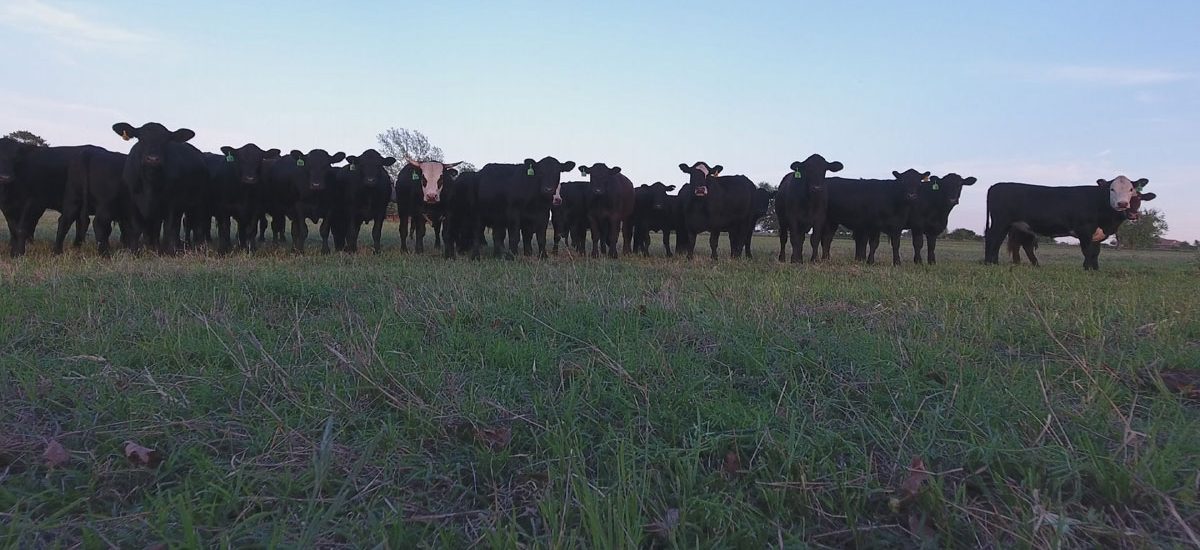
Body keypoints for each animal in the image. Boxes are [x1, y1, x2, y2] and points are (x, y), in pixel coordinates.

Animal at [111, 122, 208, 255]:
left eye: (165, 141)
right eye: (141, 139)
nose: (152, 159)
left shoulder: (173, 203)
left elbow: (170, 227)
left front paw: (172, 251)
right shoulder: (131, 203)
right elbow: (137, 228)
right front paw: (136, 251)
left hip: (197, 203)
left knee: (197, 225)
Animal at [984, 176, 1156, 270]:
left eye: (1131, 189)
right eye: (1111, 189)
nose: (1122, 204)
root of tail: (996, 185)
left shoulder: (1097, 234)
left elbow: (1096, 252)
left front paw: (1095, 269)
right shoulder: (1085, 230)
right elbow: (1087, 251)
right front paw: (1087, 269)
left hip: (1020, 226)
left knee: (1018, 244)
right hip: (1001, 222)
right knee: (993, 239)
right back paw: (991, 262)